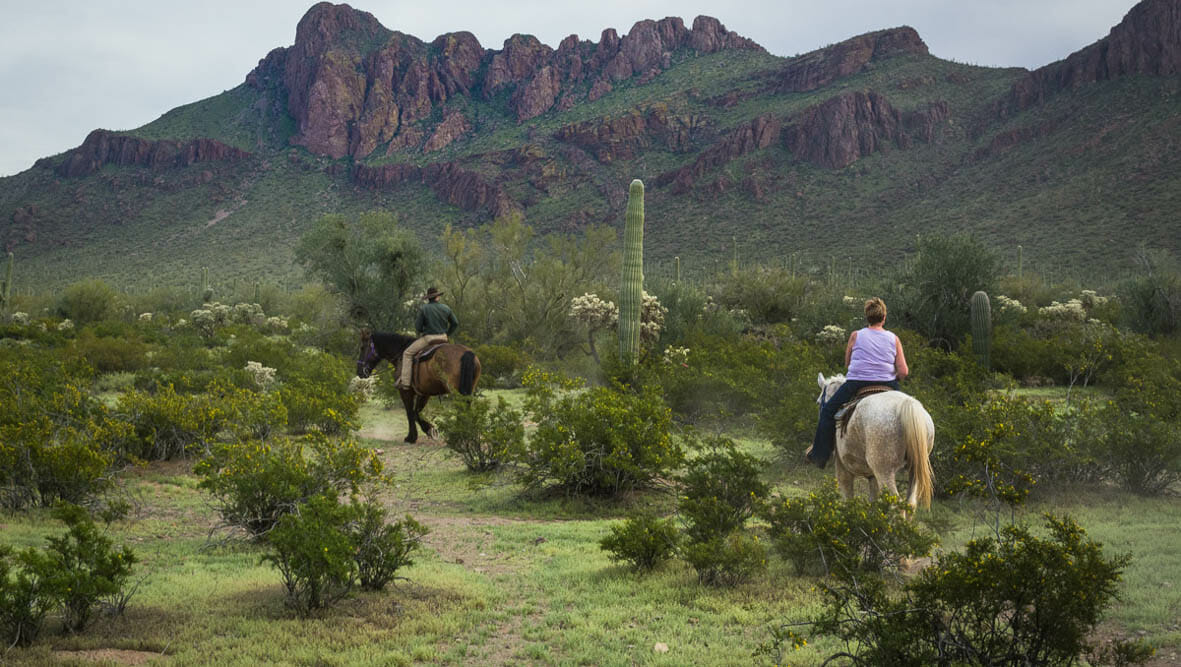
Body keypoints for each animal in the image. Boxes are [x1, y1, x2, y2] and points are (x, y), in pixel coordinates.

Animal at [816, 372, 935, 511]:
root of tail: (907, 405)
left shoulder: (843, 470)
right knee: (910, 503)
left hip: (884, 471)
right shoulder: (872, 476)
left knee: (896, 504)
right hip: (914, 471)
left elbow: (848, 499)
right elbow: (873, 501)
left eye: (818, 402)